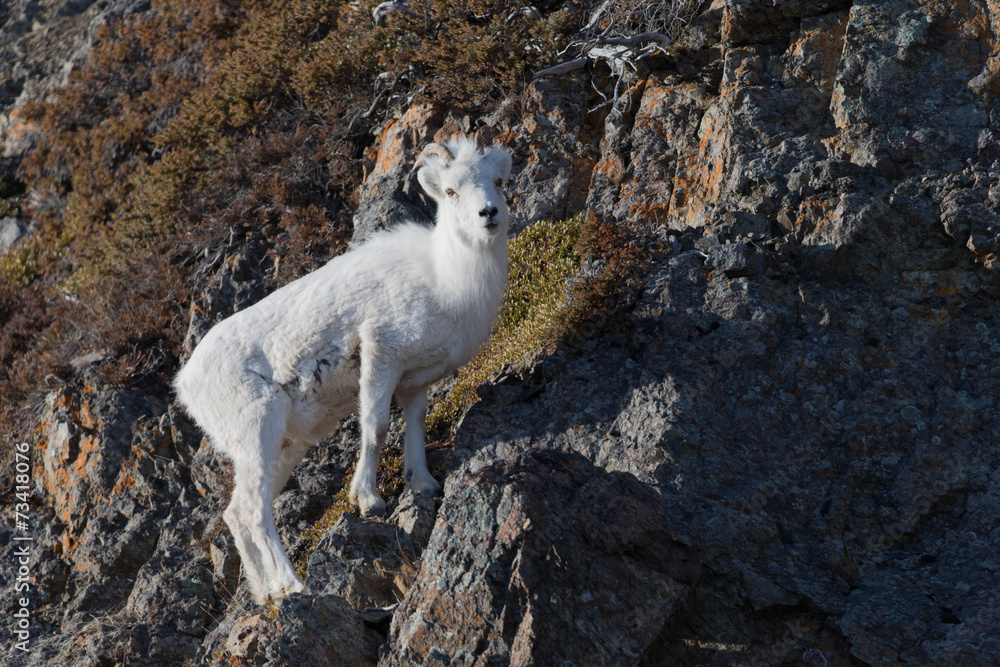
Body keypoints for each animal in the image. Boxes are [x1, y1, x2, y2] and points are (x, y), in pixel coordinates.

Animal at [174, 136, 512, 604]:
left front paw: (424, 485)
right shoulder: (380, 357)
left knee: (236, 515)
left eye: (498, 181)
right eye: (450, 191)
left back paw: (268, 595)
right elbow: (376, 428)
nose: (489, 214)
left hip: (283, 447)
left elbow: (415, 426)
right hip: (257, 433)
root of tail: (186, 385)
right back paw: (295, 586)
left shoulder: (415, 382)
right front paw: (369, 501)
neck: (445, 279)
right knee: (254, 512)